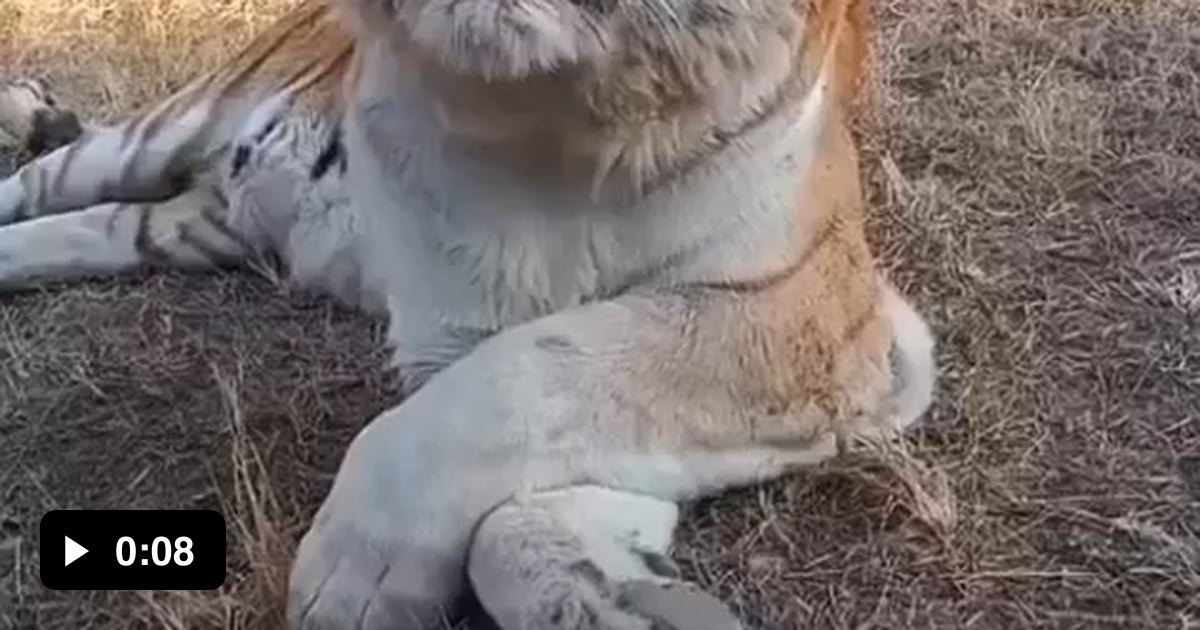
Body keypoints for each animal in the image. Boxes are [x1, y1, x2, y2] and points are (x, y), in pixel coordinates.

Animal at [0, 0, 939, 628]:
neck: (560, 122)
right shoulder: (454, 325)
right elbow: (503, 393)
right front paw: (356, 579)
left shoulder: (800, 312)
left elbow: (529, 407)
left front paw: (618, 597)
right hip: (165, 131)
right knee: (39, 184)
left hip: (179, 228)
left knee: (74, 229)